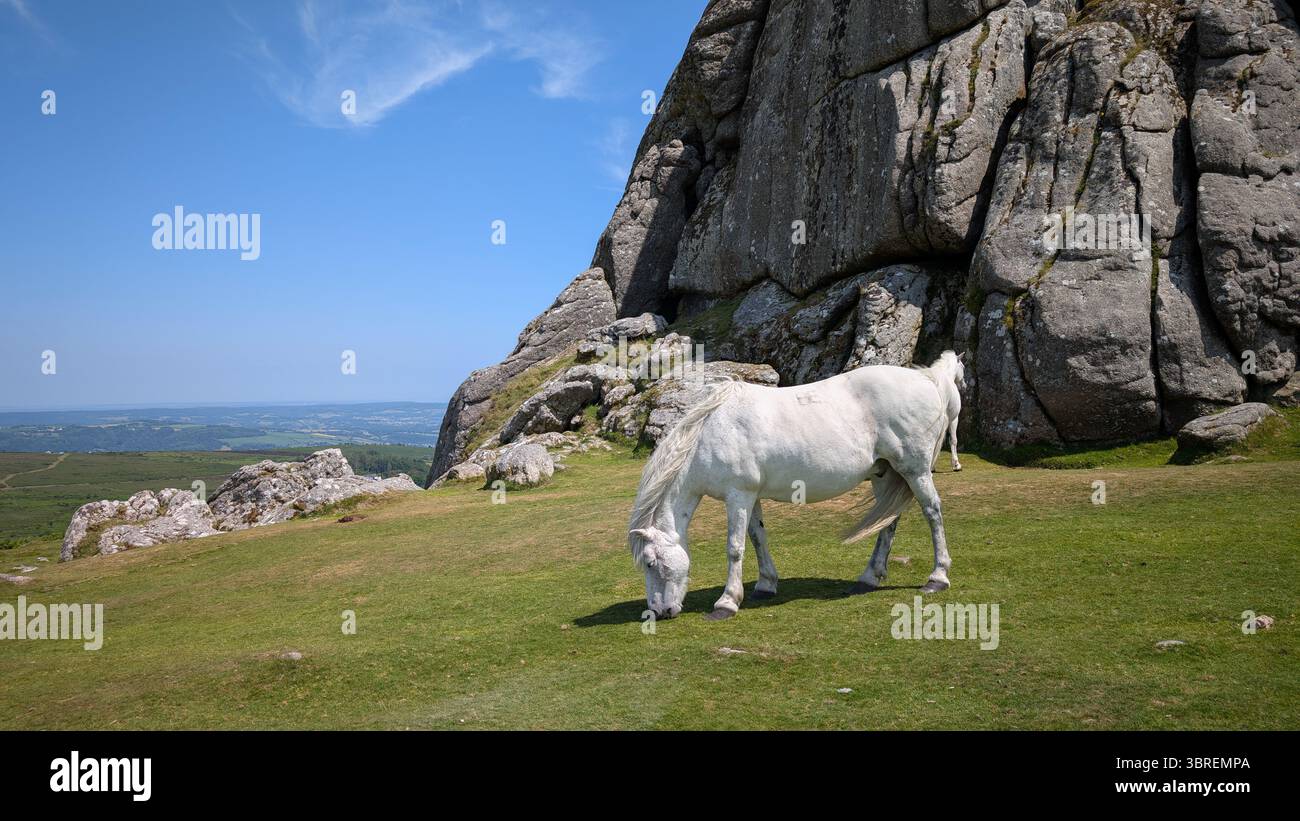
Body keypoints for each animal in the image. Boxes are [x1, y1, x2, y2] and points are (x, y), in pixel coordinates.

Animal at [628, 350, 966, 621]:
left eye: (650, 563)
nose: (659, 611)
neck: (710, 432)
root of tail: (926, 379)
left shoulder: (738, 496)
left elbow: (735, 547)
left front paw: (727, 602)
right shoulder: (751, 497)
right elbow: (757, 537)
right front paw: (765, 584)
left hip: (915, 471)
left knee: (932, 513)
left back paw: (937, 577)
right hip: (886, 475)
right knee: (888, 521)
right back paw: (870, 576)